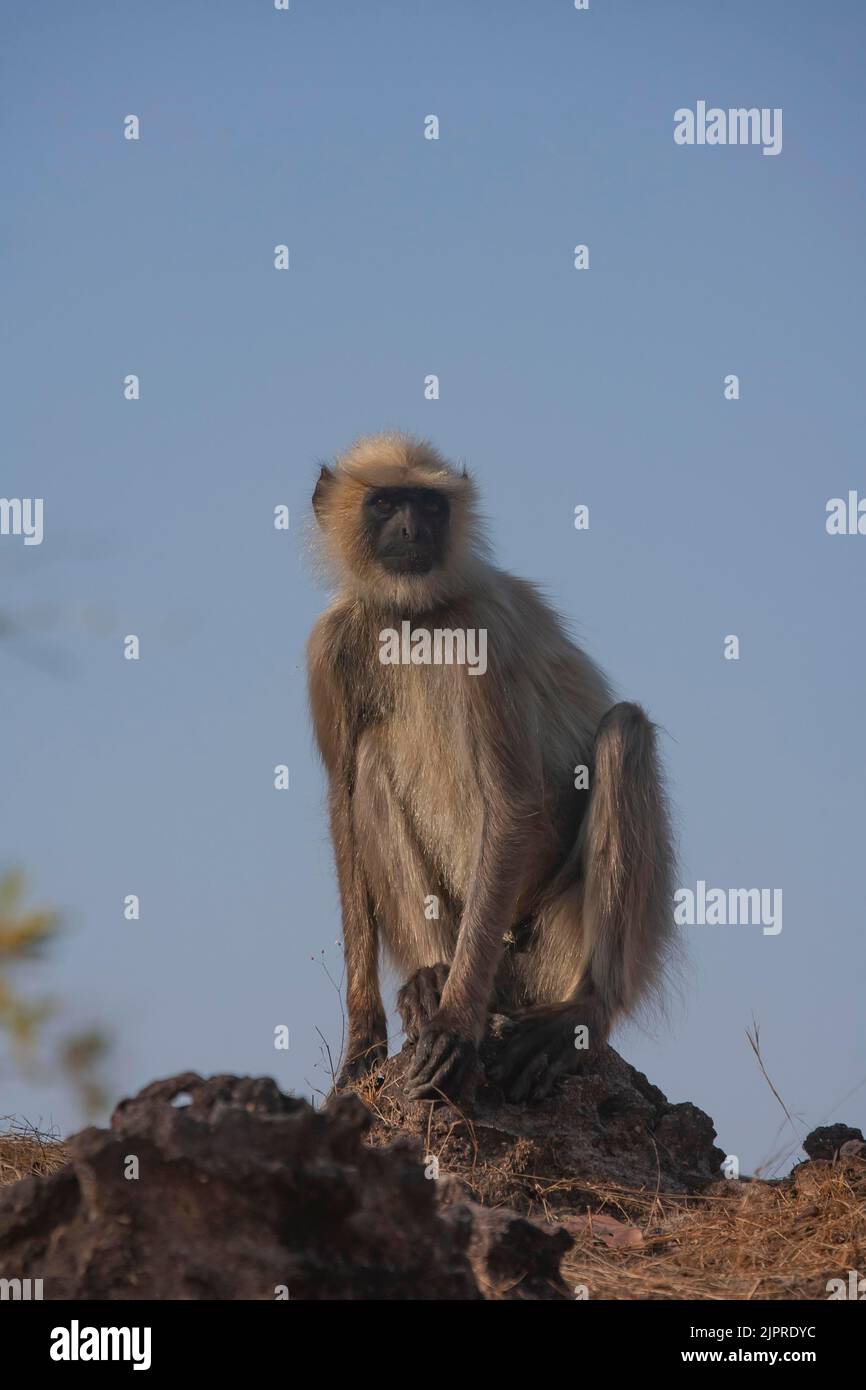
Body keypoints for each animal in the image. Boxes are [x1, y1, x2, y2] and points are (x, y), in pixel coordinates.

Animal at [307, 433, 673, 1103]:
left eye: (430, 505)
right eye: (386, 503)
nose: (412, 528)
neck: (413, 618)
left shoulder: (484, 629)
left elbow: (512, 800)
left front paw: (454, 1025)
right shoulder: (329, 647)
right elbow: (343, 808)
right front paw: (363, 1048)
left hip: (549, 942)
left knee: (625, 731)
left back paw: (583, 1010)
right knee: (371, 760)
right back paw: (433, 973)